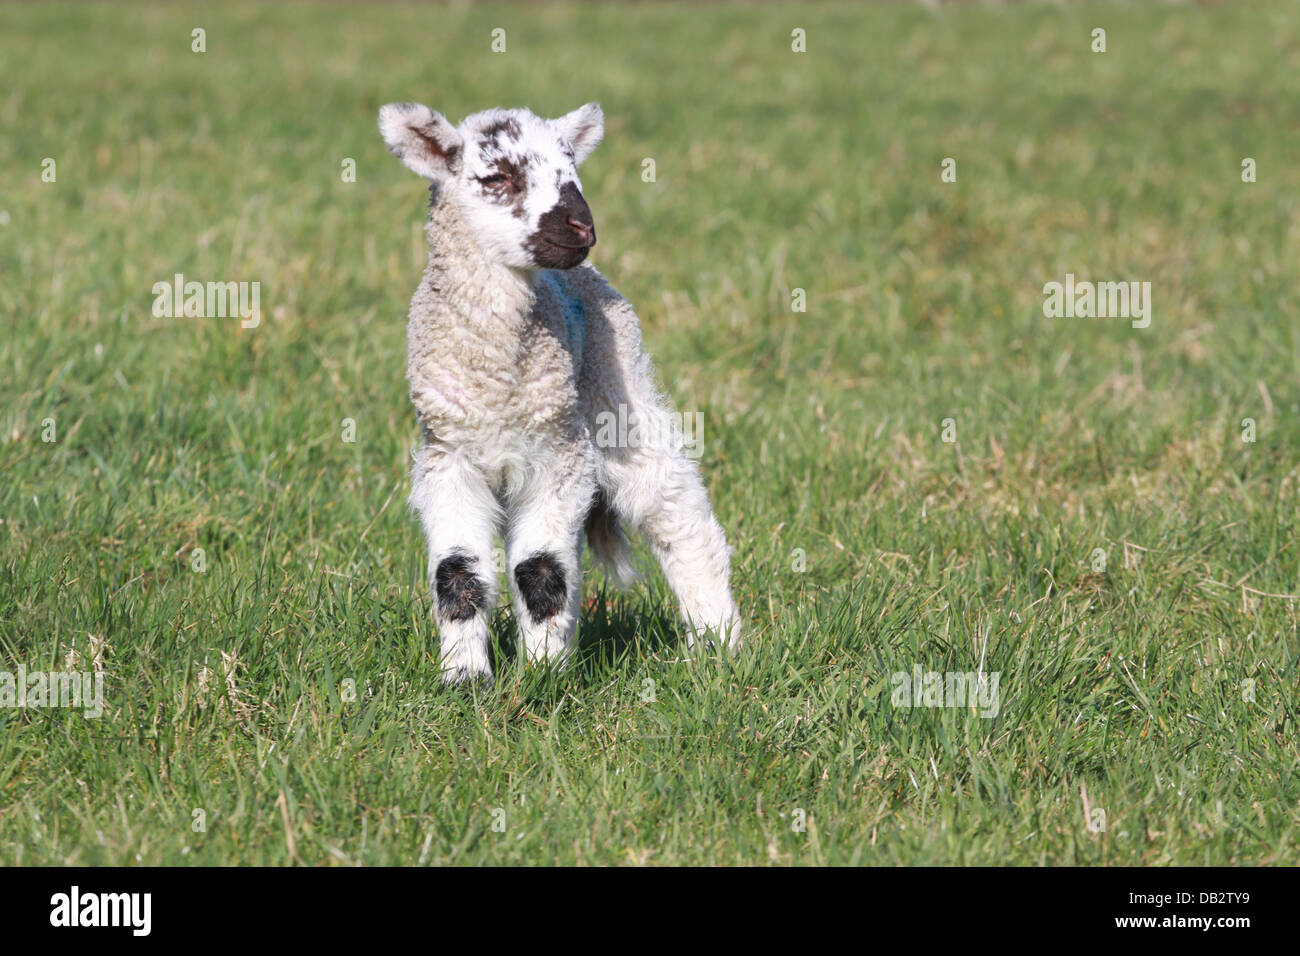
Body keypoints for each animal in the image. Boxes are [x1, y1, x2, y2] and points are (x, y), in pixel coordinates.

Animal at [378, 101, 741, 685]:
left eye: (572, 171)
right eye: (498, 178)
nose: (582, 226)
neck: (498, 380)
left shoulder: (555, 453)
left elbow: (538, 569)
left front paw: (542, 678)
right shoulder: (448, 455)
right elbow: (458, 572)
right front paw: (466, 680)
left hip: (615, 390)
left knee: (677, 512)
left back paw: (719, 643)